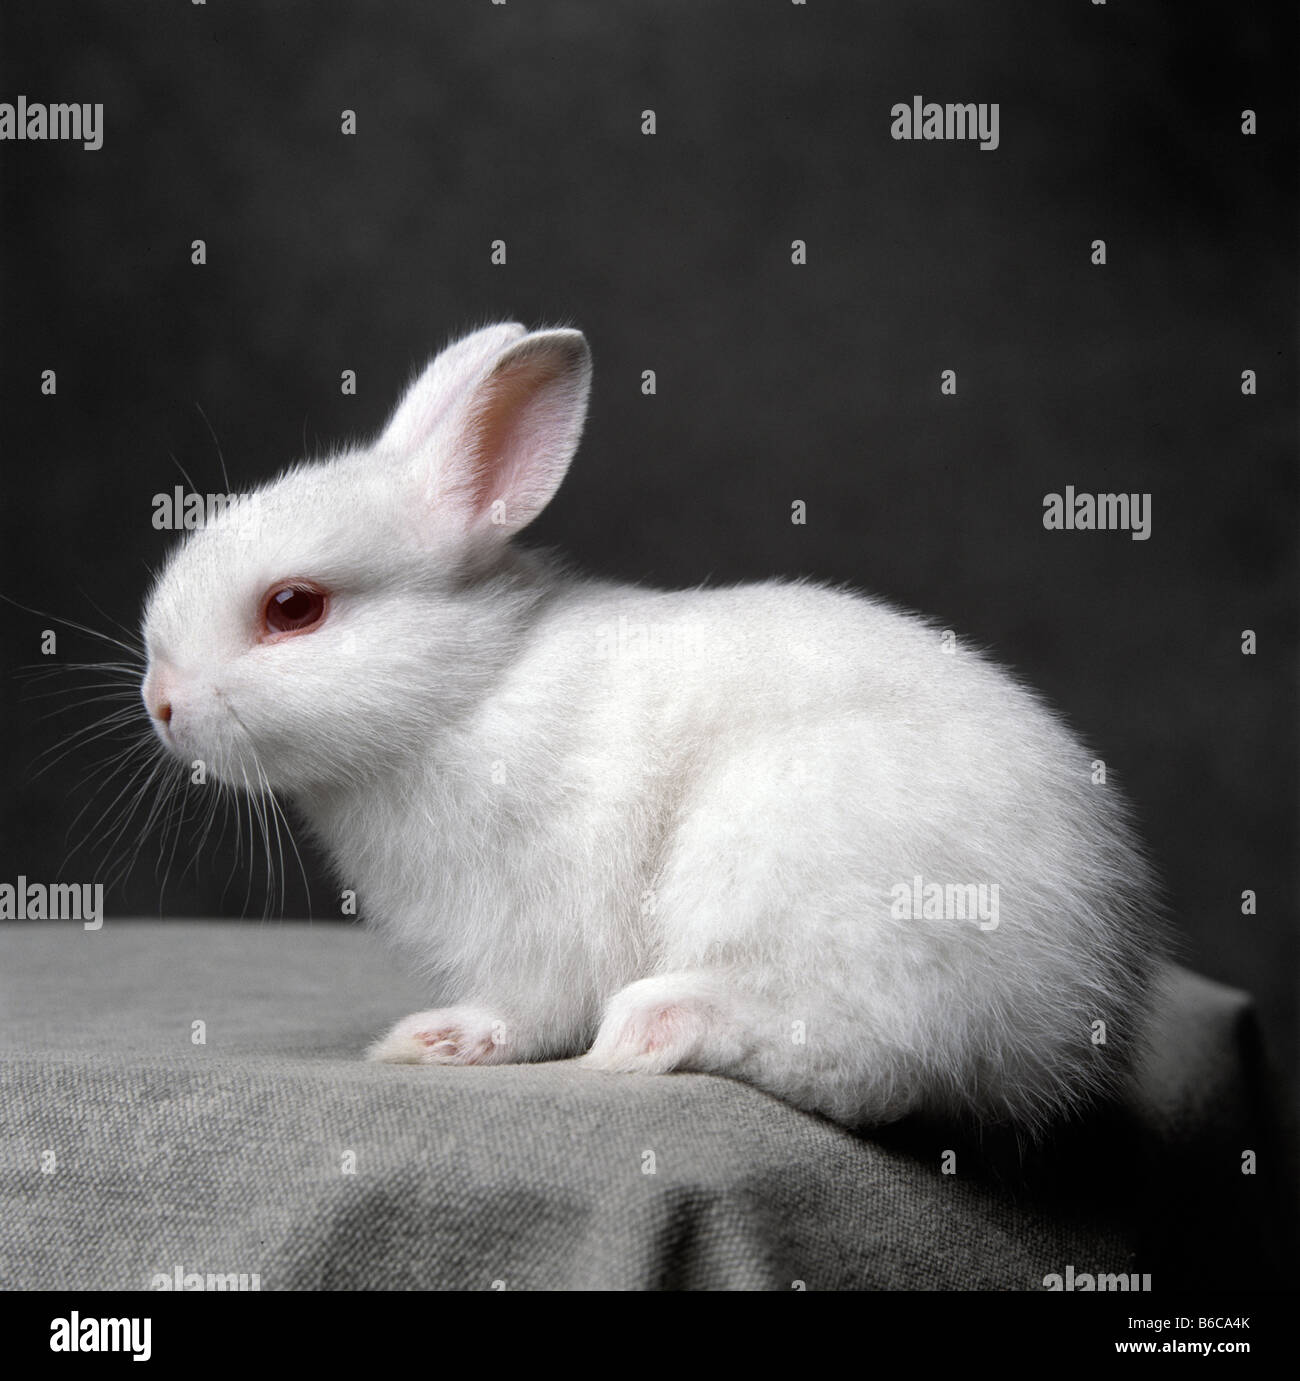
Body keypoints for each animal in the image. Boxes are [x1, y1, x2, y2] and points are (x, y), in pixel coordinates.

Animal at [140, 321, 1165, 1133]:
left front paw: (441, 1038)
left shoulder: (536, 921)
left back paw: (650, 1026)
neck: (468, 694)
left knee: (866, 1055)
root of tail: (1078, 997)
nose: (160, 702)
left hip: (783, 860)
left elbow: (526, 1012)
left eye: (293, 607)